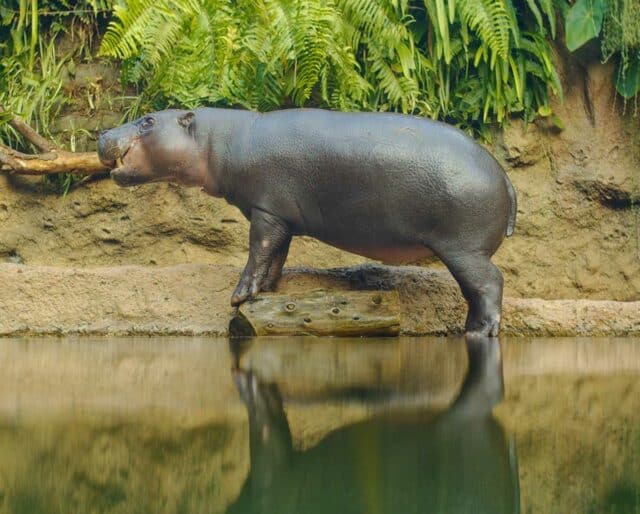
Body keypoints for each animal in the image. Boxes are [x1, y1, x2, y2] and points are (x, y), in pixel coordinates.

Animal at [98, 108, 517, 335]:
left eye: (149, 119)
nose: (103, 133)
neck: (216, 141)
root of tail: (505, 175)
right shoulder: (278, 216)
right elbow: (275, 257)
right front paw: (265, 294)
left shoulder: (265, 211)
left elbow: (257, 251)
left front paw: (238, 296)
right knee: (478, 290)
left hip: (462, 248)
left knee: (489, 283)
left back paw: (478, 333)